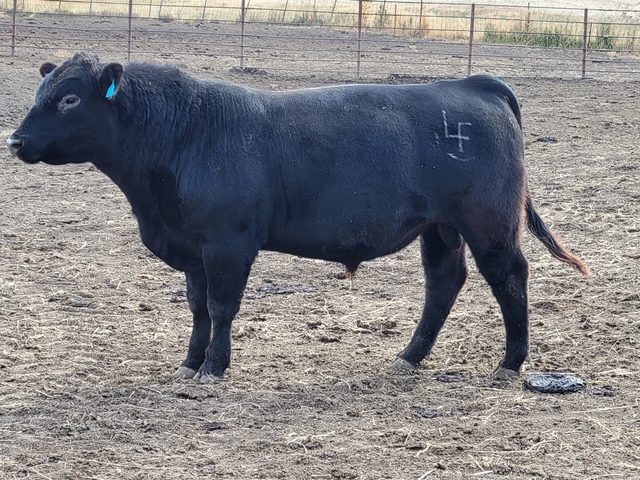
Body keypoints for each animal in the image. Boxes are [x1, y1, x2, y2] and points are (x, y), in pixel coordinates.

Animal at [7, 53, 589, 383]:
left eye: (69, 99)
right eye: (39, 94)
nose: (14, 140)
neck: (184, 133)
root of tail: (472, 84)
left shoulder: (228, 245)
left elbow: (221, 307)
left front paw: (215, 368)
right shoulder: (192, 248)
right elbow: (197, 308)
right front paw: (190, 363)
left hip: (488, 224)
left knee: (509, 278)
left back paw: (510, 363)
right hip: (440, 229)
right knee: (444, 284)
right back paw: (408, 357)